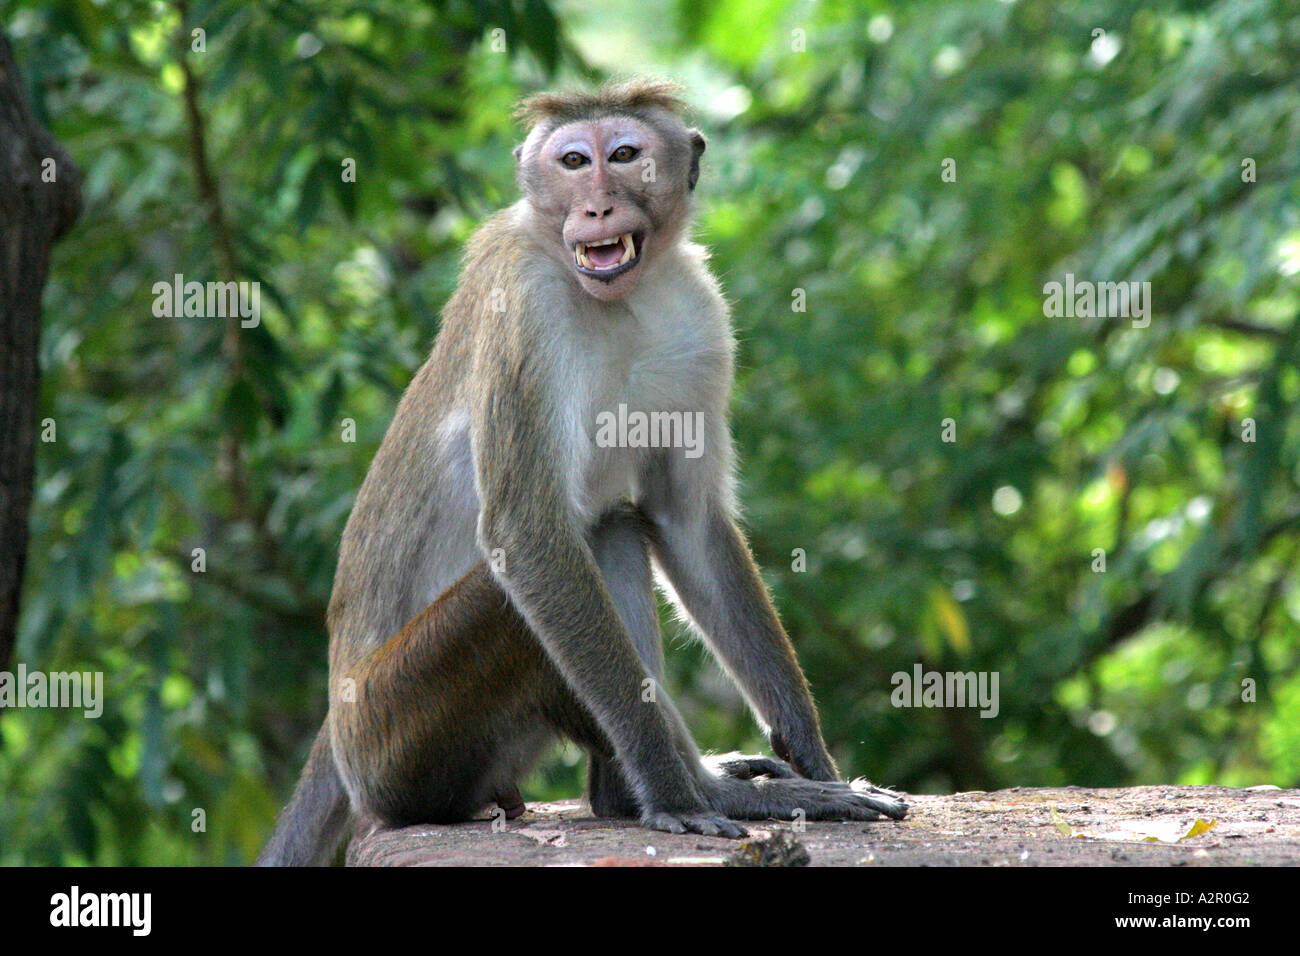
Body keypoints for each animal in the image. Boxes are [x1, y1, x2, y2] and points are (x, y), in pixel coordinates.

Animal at [257, 78, 906, 866]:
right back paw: (681, 790)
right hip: (397, 734)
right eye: (572, 161)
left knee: (614, 530)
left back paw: (631, 794)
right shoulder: (522, 299)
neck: (615, 300)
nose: (595, 206)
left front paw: (812, 752)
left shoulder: (700, 312)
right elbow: (526, 536)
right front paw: (681, 795)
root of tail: (338, 728)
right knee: (567, 554)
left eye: (623, 154)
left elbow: (685, 521)